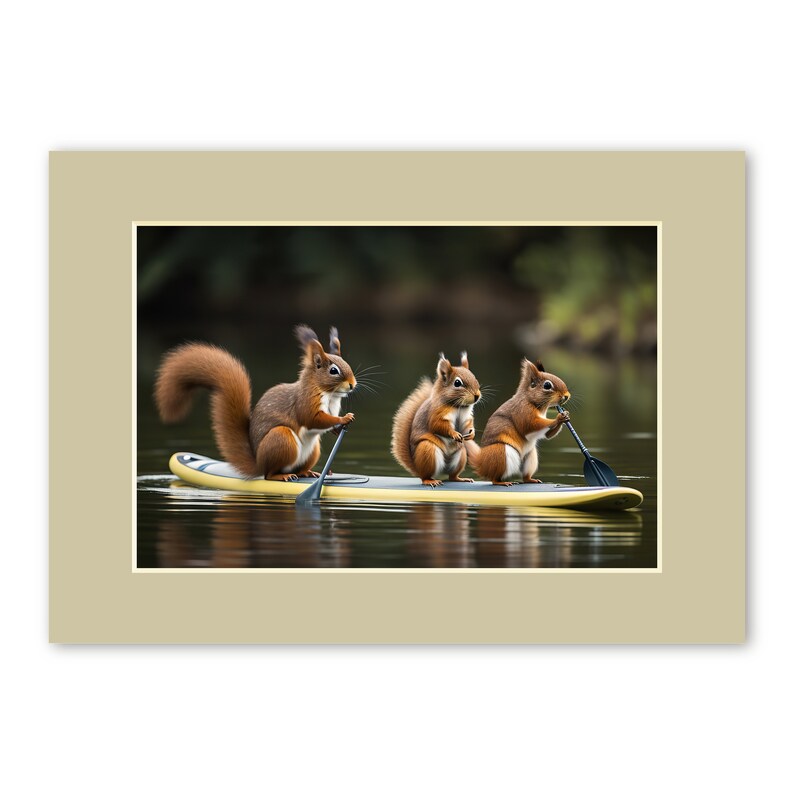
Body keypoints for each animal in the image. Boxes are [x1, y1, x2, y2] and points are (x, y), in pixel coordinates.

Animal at [154, 325, 356, 481]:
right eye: (333, 370)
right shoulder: (305, 402)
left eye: (346, 363)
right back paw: (281, 476)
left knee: (297, 469)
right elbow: (314, 419)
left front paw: (341, 425)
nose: (352, 385)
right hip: (281, 438)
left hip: (312, 450)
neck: (330, 395)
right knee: (269, 475)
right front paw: (344, 419)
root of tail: (259, 463)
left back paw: (307, 472)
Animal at [391, 352, 482, 487]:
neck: (458, 406)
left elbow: (467, 426)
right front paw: (454, 434)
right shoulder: (435, 414)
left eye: (474, 377)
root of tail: (417, 467)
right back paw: (430, 481)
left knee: (452, 476)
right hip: (428, 450)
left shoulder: (466, 417)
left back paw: (460, 478)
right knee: (425, 476)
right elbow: (438, 425)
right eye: (457, 383)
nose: (477, 396)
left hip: (461, 454)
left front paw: (471, 434)